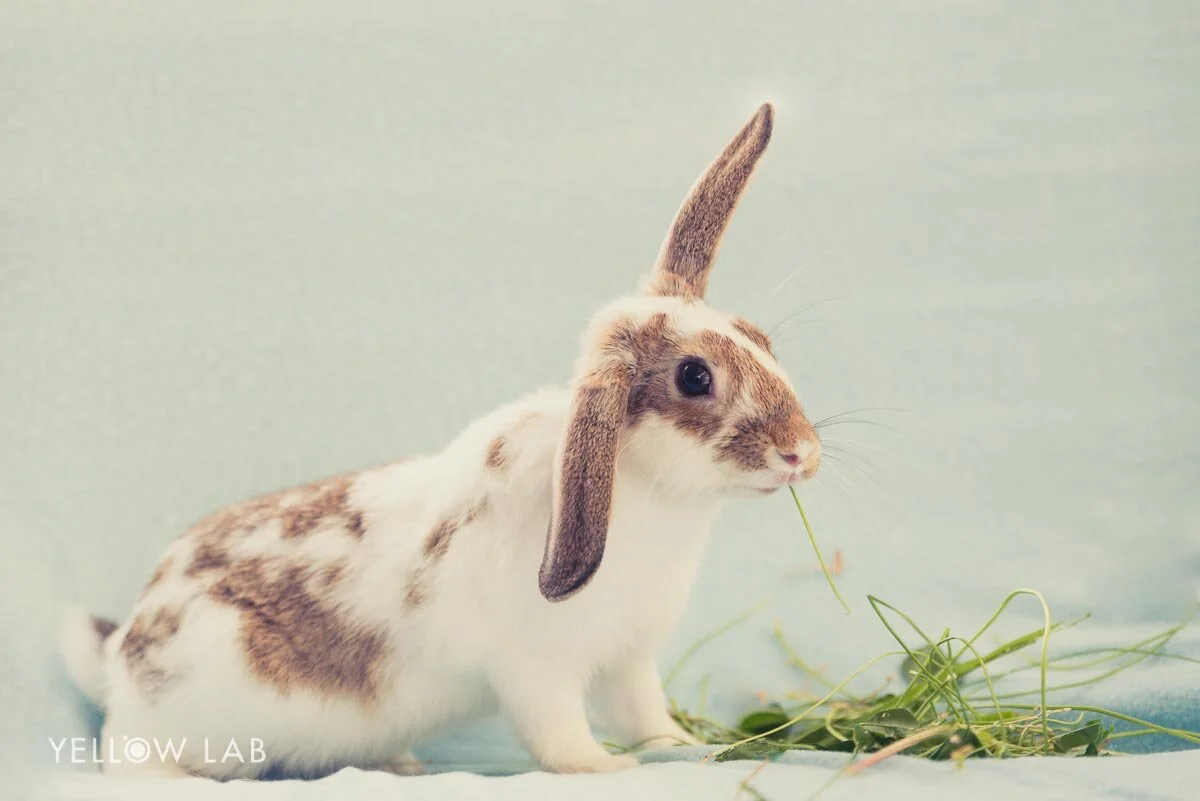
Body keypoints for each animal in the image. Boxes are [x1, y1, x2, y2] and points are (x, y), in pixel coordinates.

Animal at [59, 102, 821, 780]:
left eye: (758, 336)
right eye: (695, 377)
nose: (803, 453)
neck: (645, 493)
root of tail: (127, 644)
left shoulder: (628, 661)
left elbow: (644, 714)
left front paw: (685, 746)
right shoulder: (536, 669)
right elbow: (558, 732)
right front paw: (603, 768)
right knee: (122, 750)